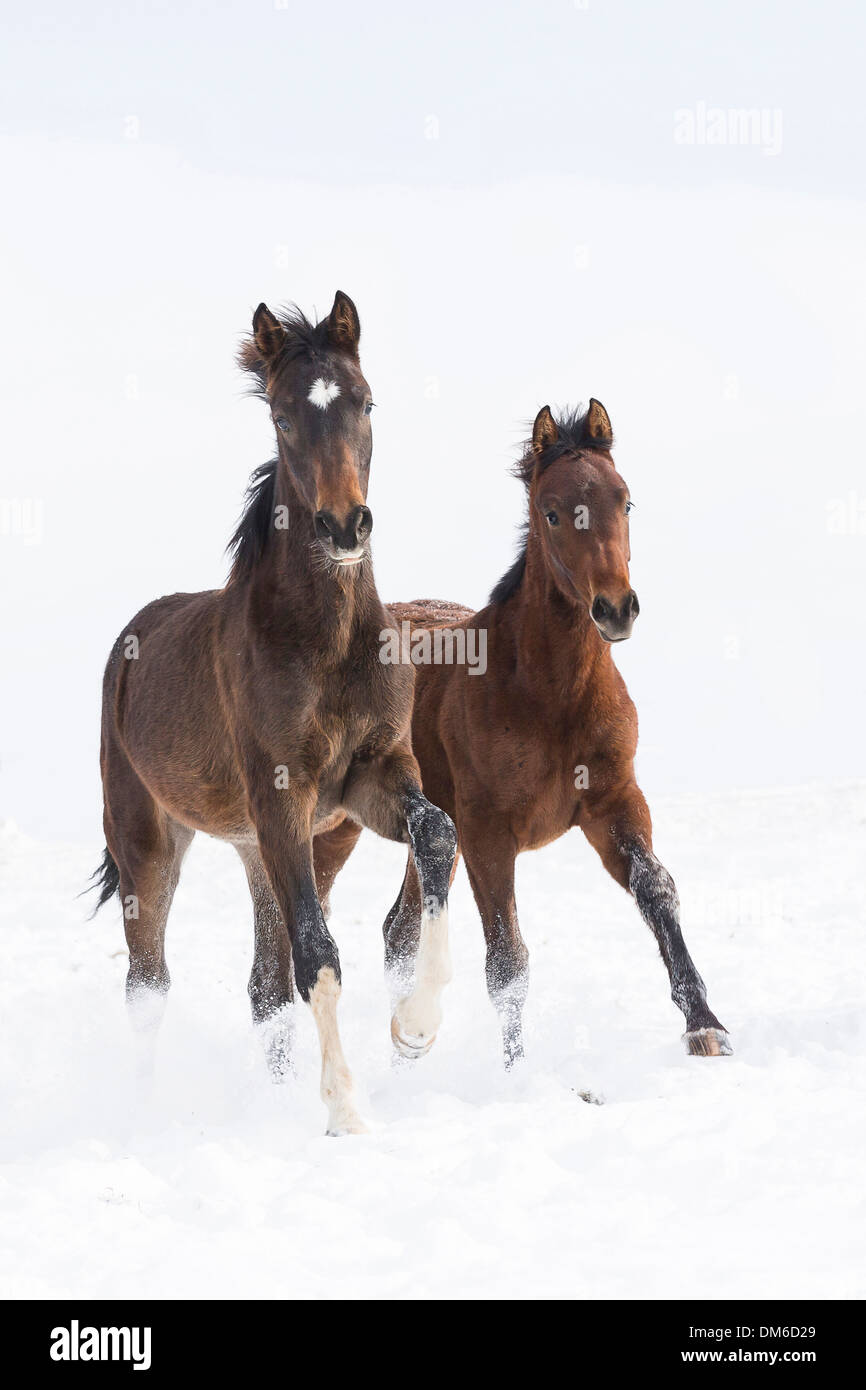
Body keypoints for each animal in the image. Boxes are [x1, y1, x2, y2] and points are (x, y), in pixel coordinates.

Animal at [90, 292, 458, 1134]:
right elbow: (318, 954)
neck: (324, 646)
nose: (344, 526)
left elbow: (438, 832)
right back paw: (143, 1112)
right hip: (150, 842)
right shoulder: (286, 799)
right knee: (147, 986)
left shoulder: (369, 781)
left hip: (256, 851)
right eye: (284, 417)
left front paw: (417, 1026)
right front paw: (346, 1109)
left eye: (365, 401)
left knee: (262, 984)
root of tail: (128, 642)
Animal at [312, 399, 731, 1068]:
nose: (616, 609)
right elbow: (507, 958)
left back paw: (406, 1043)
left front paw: (705, 1026)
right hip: (338, 826)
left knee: (398, 930)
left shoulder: (613, 802)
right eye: (552, 512)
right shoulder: (489, 831)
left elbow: (657, 888)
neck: (551, 699)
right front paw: (515, 1072)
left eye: (626, 501)